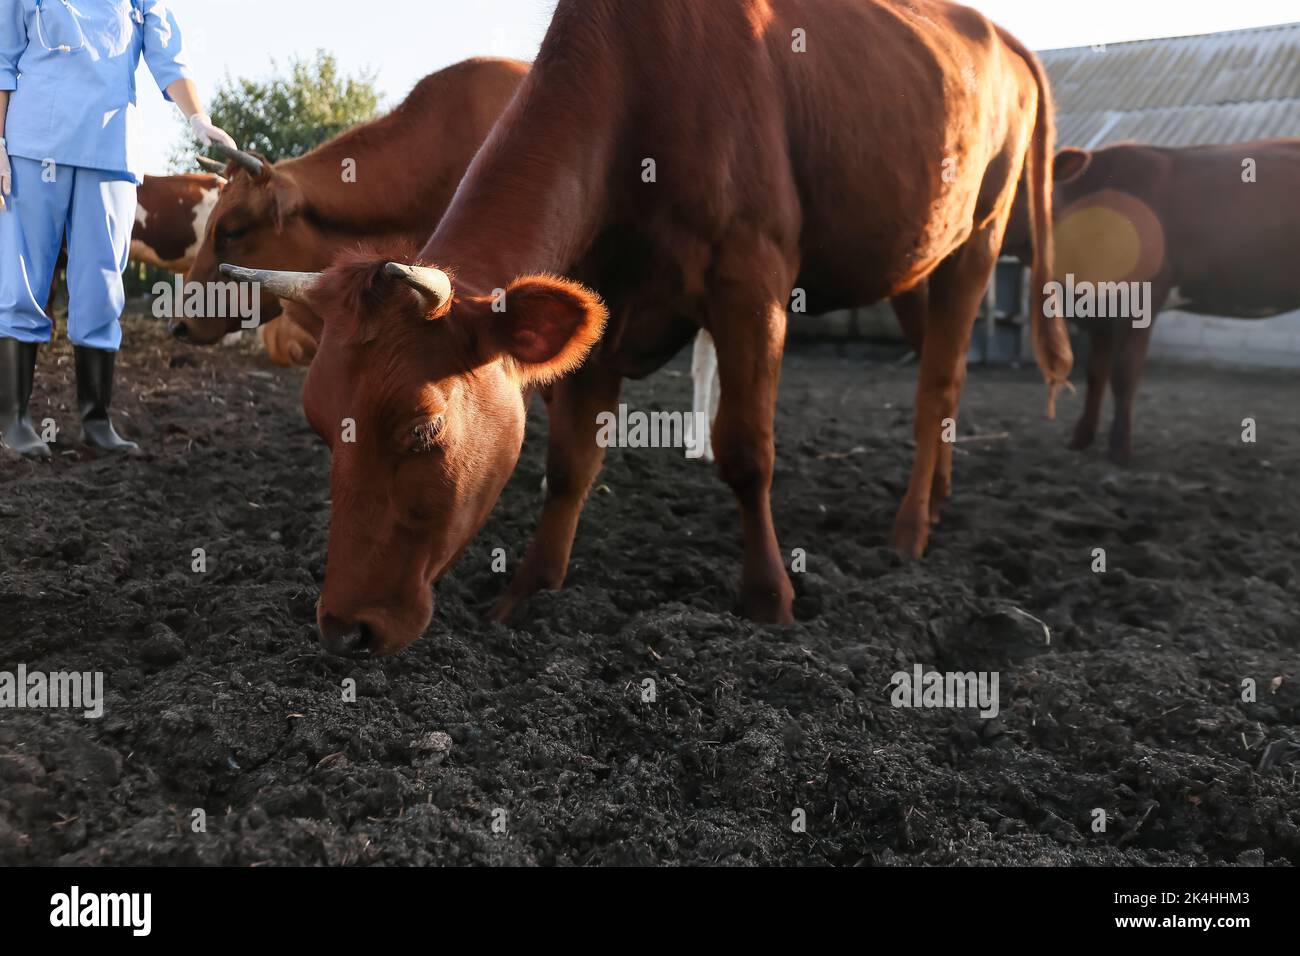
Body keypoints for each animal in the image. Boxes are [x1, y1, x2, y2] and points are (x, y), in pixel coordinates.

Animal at [232, 0, 1071, 656]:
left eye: (422, 430)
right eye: (317, 425)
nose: (344, 628)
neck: (644, 96)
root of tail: (1004, 36)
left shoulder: (752, 282)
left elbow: (746, 451)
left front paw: (769, 601)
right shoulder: (600, 302)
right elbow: (569, 462)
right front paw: (528, 595)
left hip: (979, 239)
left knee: (937, 384)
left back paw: (910, 530)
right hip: (913, 261)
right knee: (941, 370)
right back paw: (939, 497)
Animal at [1002, 139, 1300, 462]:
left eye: (1020, 183)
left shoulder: (1141, 300)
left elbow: (1124, 375)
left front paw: (1120, 449)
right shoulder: (1098, 311)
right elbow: (1096, 373)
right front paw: (1081, 438)